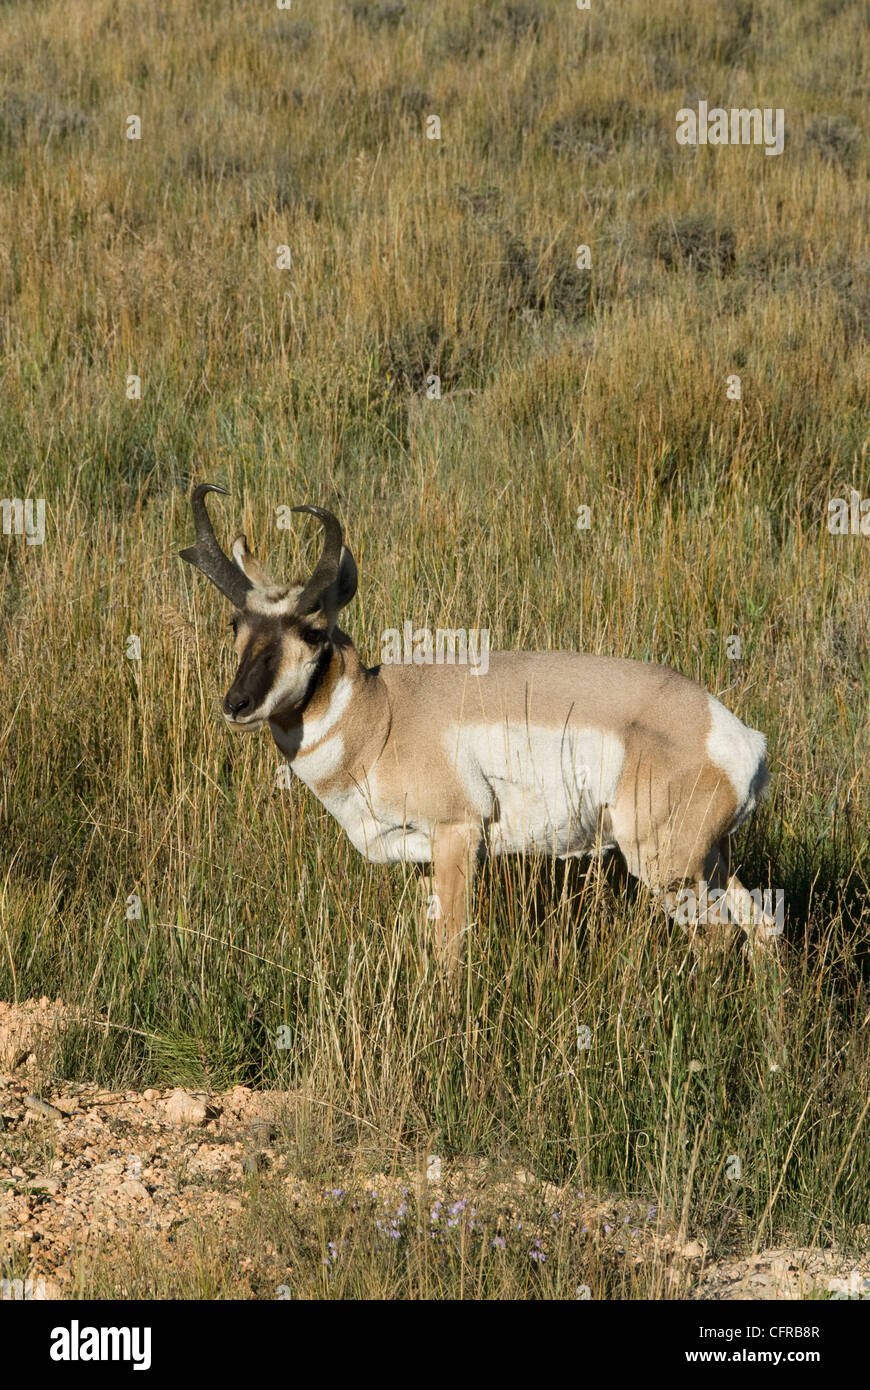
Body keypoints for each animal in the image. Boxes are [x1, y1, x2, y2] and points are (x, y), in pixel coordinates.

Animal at [180, 484, 779, 976]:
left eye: (311, 629)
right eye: (236, 623)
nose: (236, 704)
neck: (381, 714)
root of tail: (735, 735)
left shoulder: (457, 835)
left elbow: (450, 947)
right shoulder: (420, 857)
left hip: (665, 867)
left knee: (719, 938)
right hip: (712, 858)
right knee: (763, 924)